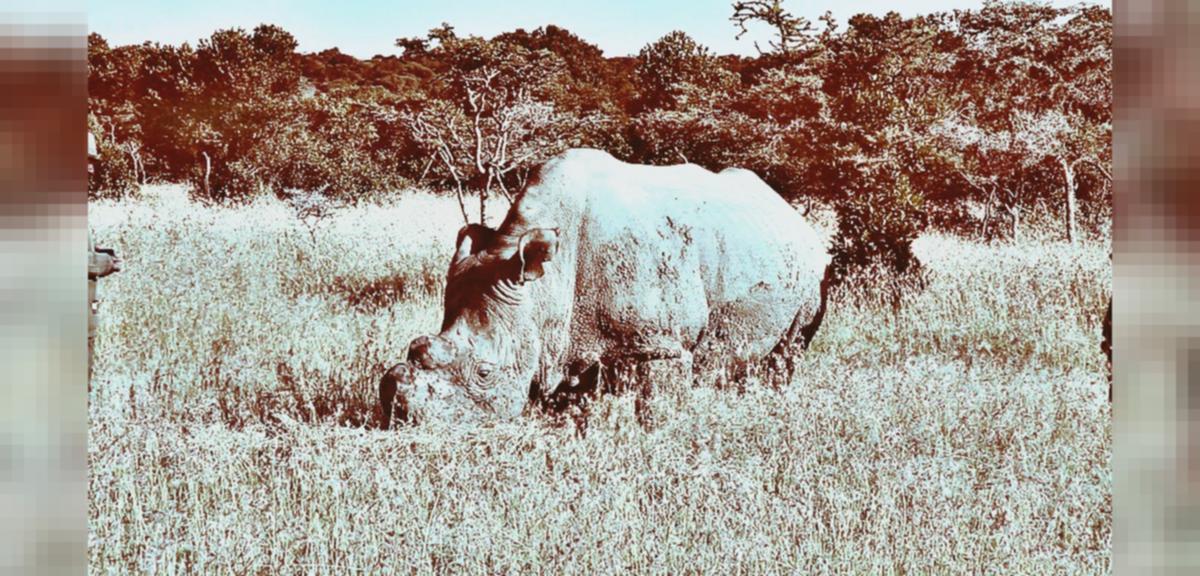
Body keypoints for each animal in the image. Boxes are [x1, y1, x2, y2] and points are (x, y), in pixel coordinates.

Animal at [380, 149, 831, 428]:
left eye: (485, 372)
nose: (396, 414)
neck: (545, 284)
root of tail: (786, 207)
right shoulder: (560, 338)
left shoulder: (661, 342)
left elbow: (654, 405)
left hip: (812, 263)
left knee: (789, 347)